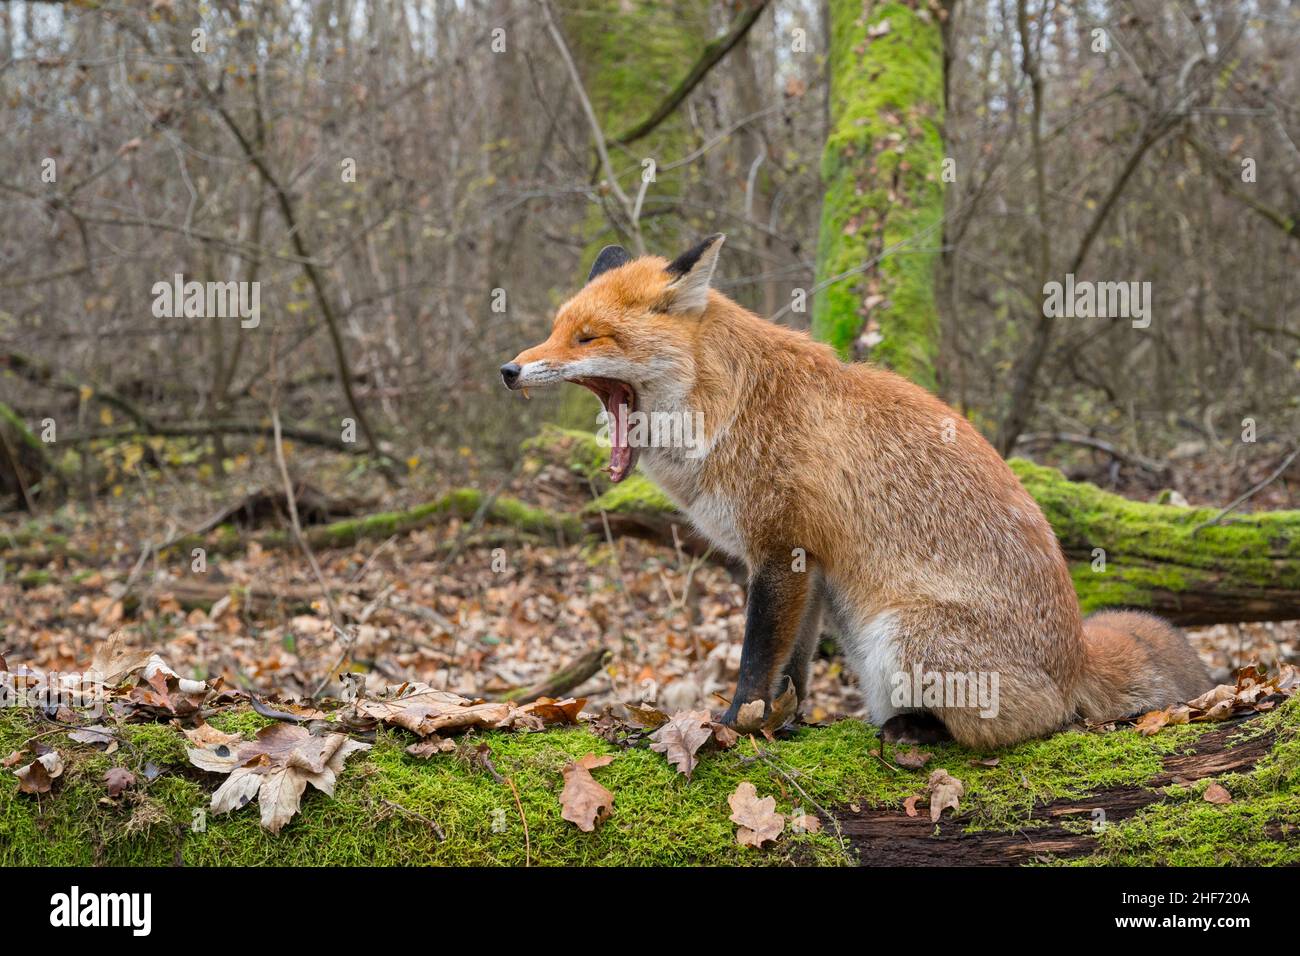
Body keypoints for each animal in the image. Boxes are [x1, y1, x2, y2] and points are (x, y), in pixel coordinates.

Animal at [500, 234, 1211, 748]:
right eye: (557, 328)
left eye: (588, 337)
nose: (508, 370)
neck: (725, 407)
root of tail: (1076, 657)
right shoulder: (810, 565)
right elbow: (792, 668)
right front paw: (783, 723)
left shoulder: (780, 549)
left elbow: (755, 660)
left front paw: (732, 727)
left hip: (903, 634)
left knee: (1026, 726)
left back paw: (917, 728)